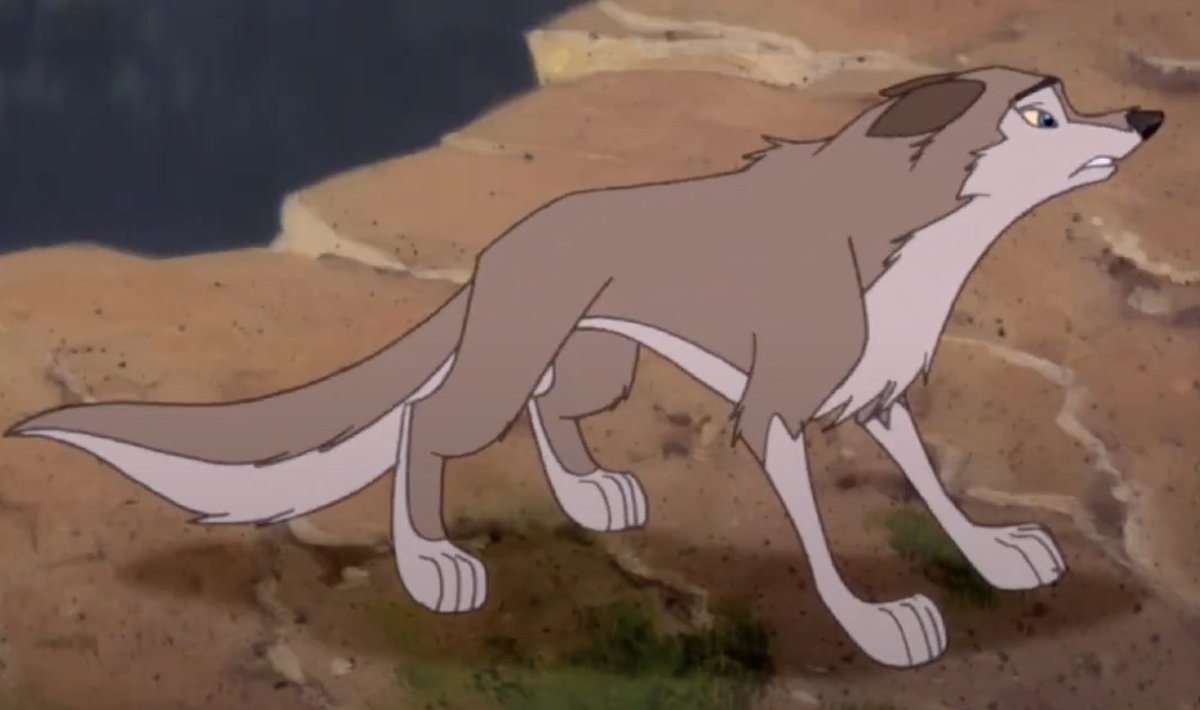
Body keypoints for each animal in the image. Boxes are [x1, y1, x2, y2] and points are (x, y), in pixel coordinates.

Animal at [7, 66, 1163, 668]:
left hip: (599, 362)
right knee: (433, 423)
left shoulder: (875, 394)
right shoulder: (776, 410)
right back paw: (433, 566)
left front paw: (1001, 556)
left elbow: (932, 482)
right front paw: (878, 624)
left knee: (546, 410)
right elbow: (820, 536)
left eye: (1068, 102)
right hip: (513, 360)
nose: (1147, 118)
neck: (909, 238)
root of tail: (505, 243)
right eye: (1041, 114)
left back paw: (592, 495)